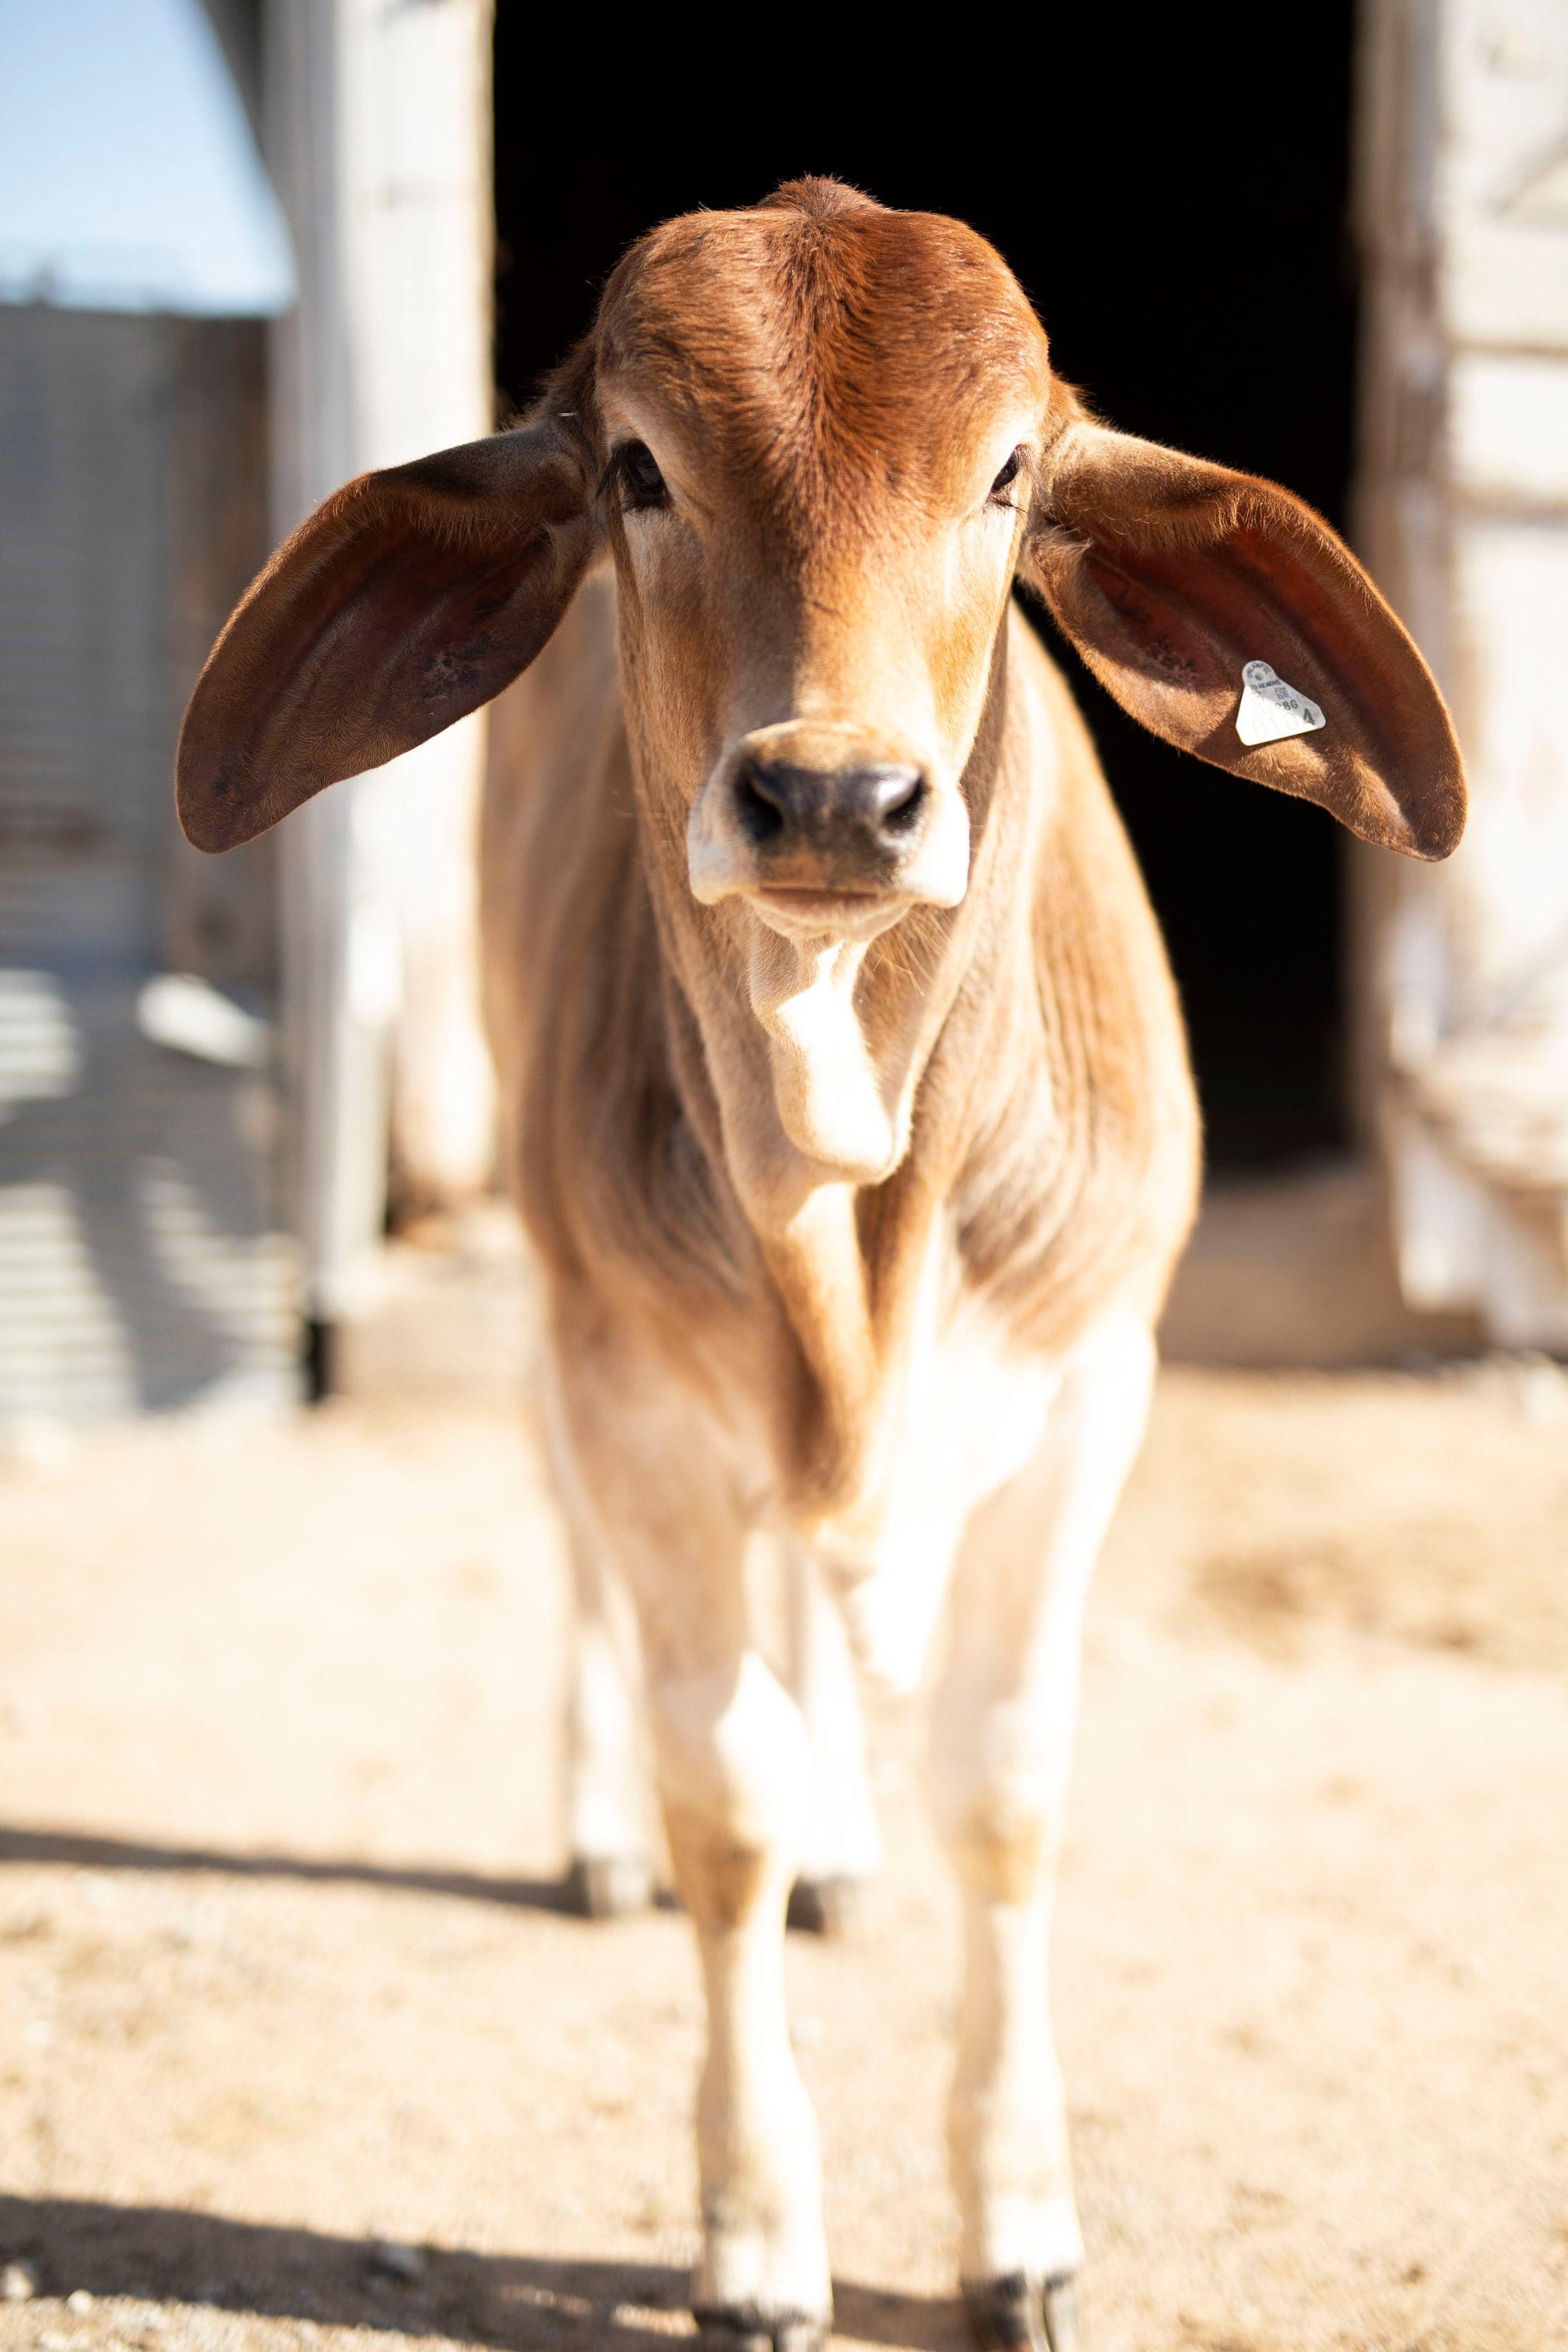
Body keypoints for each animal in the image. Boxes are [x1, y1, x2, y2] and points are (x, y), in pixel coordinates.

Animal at [176, 179, 1464, 2352]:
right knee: (594, 1578)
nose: (835, 799)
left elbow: (1004, 1790)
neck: (845, 1177)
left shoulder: (1090, 1390)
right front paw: (756, 2225)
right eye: (633, 471)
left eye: (1008, 475)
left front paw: (1013, 2217)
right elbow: (723, 1799)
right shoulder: (628, 1381)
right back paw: (599, 1823)